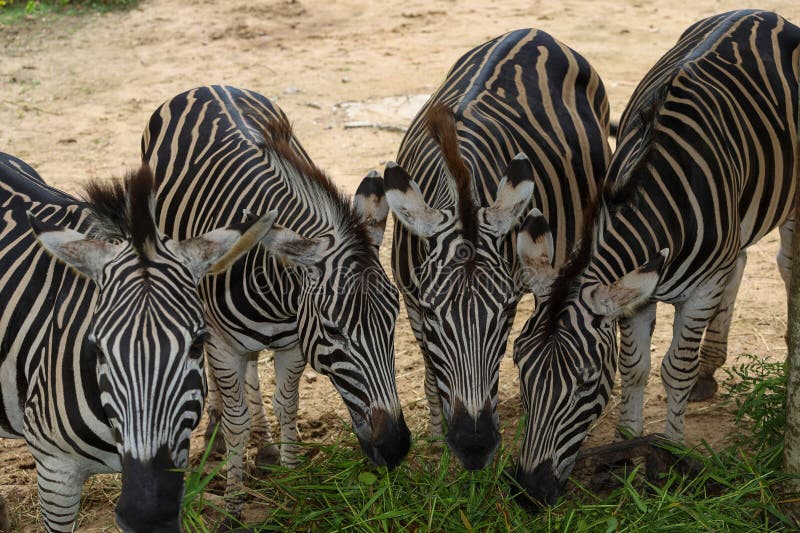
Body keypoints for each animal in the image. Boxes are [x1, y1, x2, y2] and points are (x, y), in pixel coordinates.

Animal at [141, 85, 411, 518]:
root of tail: (208, 85)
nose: (396, 446)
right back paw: (217, 431)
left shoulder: (295, 341)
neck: (277, 294)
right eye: (334, 329)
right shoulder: (224, 344)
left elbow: (286, 403)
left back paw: (265, 448)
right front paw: (233, 505)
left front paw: (292, 478)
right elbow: (236, 421)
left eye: (393, 321)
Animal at [383, 28, 611, 469]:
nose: (474, 446)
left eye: (505, 314)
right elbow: (431, 370)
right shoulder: (411, 297)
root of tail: (533, 32)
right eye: (433, 314)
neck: (462, 183)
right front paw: (437, 439)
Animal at [511, 10, 800, 505]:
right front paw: (625, 449)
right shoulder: (634, 295)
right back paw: (711, 367)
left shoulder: (699, 292)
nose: (530, 492)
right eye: (520, 370)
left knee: (785, 264)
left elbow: (674, 370)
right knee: (739, 261)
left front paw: (670, 454)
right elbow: (636, 370)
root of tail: (761, 13)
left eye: (587, 382)